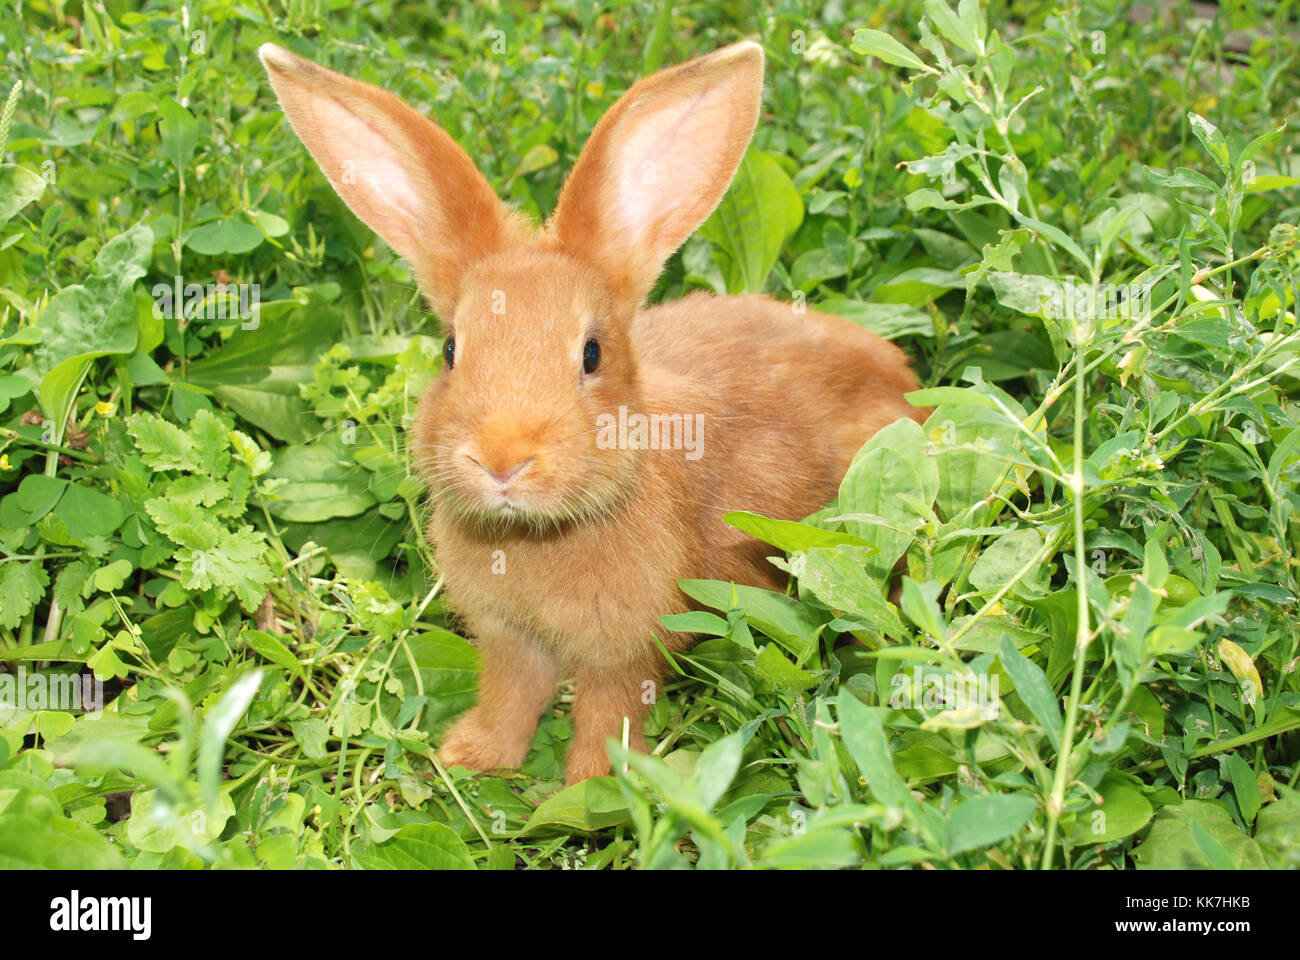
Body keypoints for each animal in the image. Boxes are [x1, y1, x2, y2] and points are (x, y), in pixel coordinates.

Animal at [260, 39, 926, 784]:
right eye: (451, 349)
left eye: (592, 354)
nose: (502, 460)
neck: (535, 537)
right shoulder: (510, 639)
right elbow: (510, 696)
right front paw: (473, 757)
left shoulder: (625, 650)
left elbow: (609, 715)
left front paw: (594, 785)